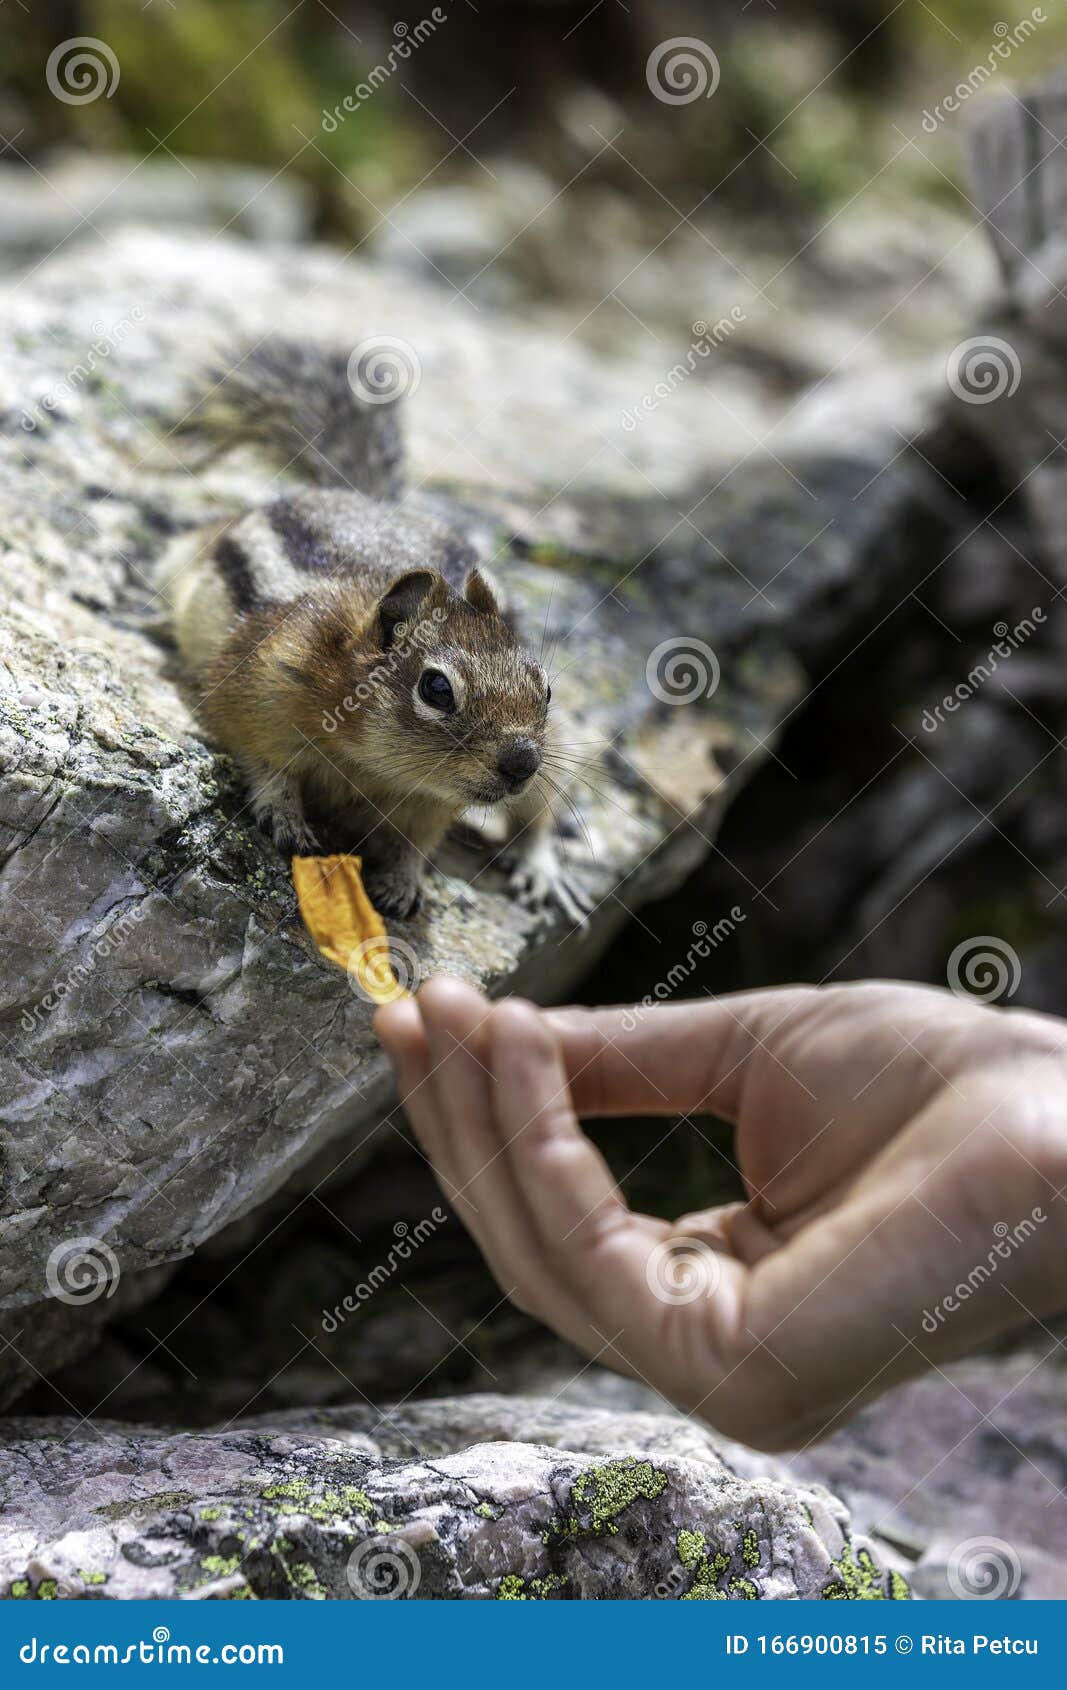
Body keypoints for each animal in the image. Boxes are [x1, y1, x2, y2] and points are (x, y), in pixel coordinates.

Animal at [156, 336, 592, 925]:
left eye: (544, 689)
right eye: (436, 689)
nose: (522, 762)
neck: (374, 767)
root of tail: (369, 500)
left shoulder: (433, 802)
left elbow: (419, 844)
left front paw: (406, 882)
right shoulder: (258, 686)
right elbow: (264, 761)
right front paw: (285, 814)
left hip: (559, 744)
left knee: (540, 811)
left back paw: (543, 870)